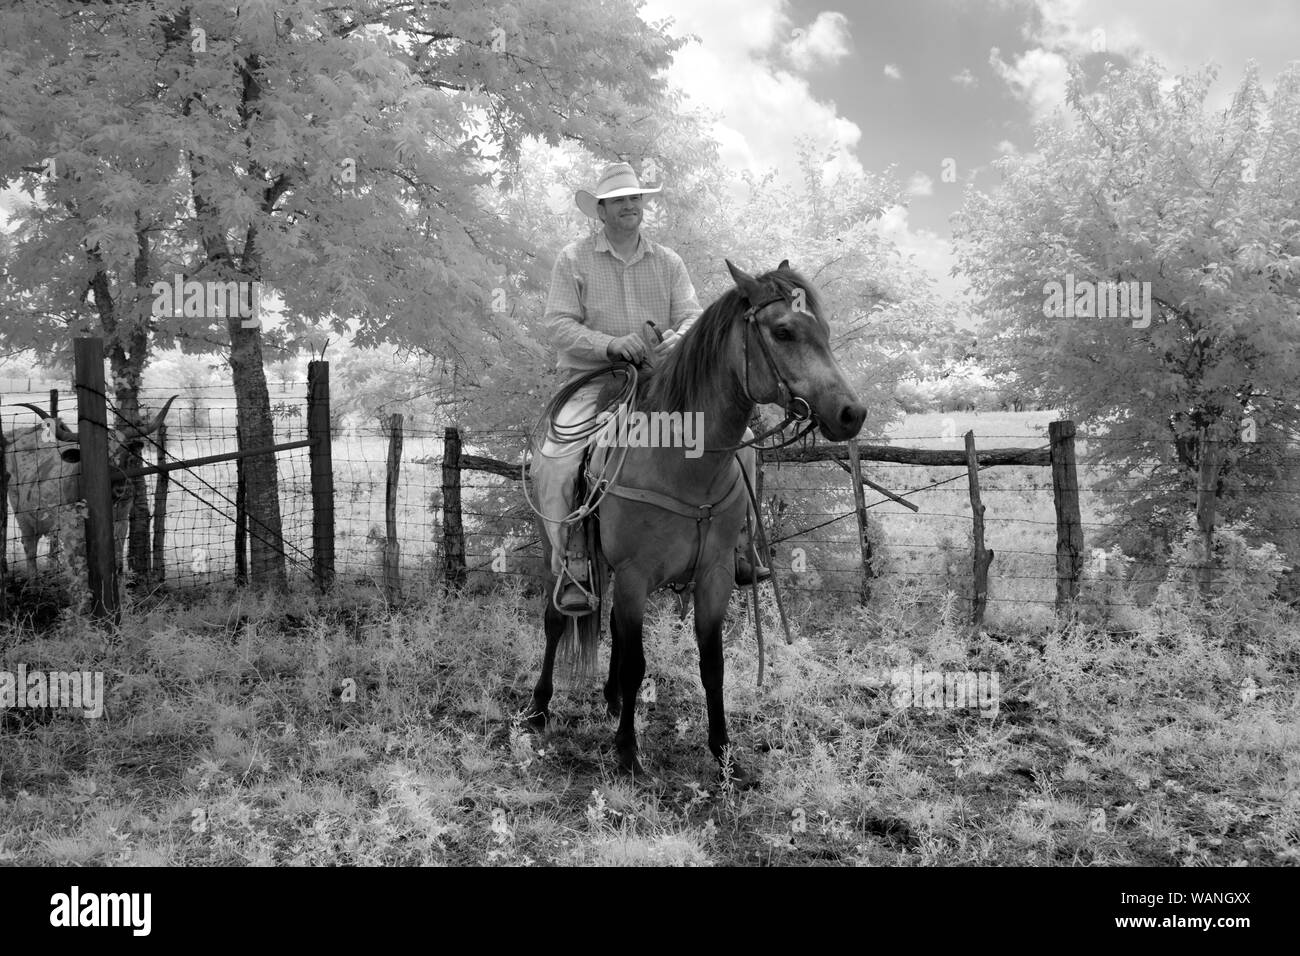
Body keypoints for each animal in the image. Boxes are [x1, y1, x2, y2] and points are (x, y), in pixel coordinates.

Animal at [527, 259, 866, 782]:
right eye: (783, 331)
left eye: (824, 332)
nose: (852, 413)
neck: (682, 463)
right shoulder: (635, 575)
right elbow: (637, 662)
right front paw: (628, 753)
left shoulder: (715, 576)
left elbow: (711, 664)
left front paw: (724, 753)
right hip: (559, 553)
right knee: (556, 621)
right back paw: (539, 709)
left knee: (613, 630)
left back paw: (612, 702)